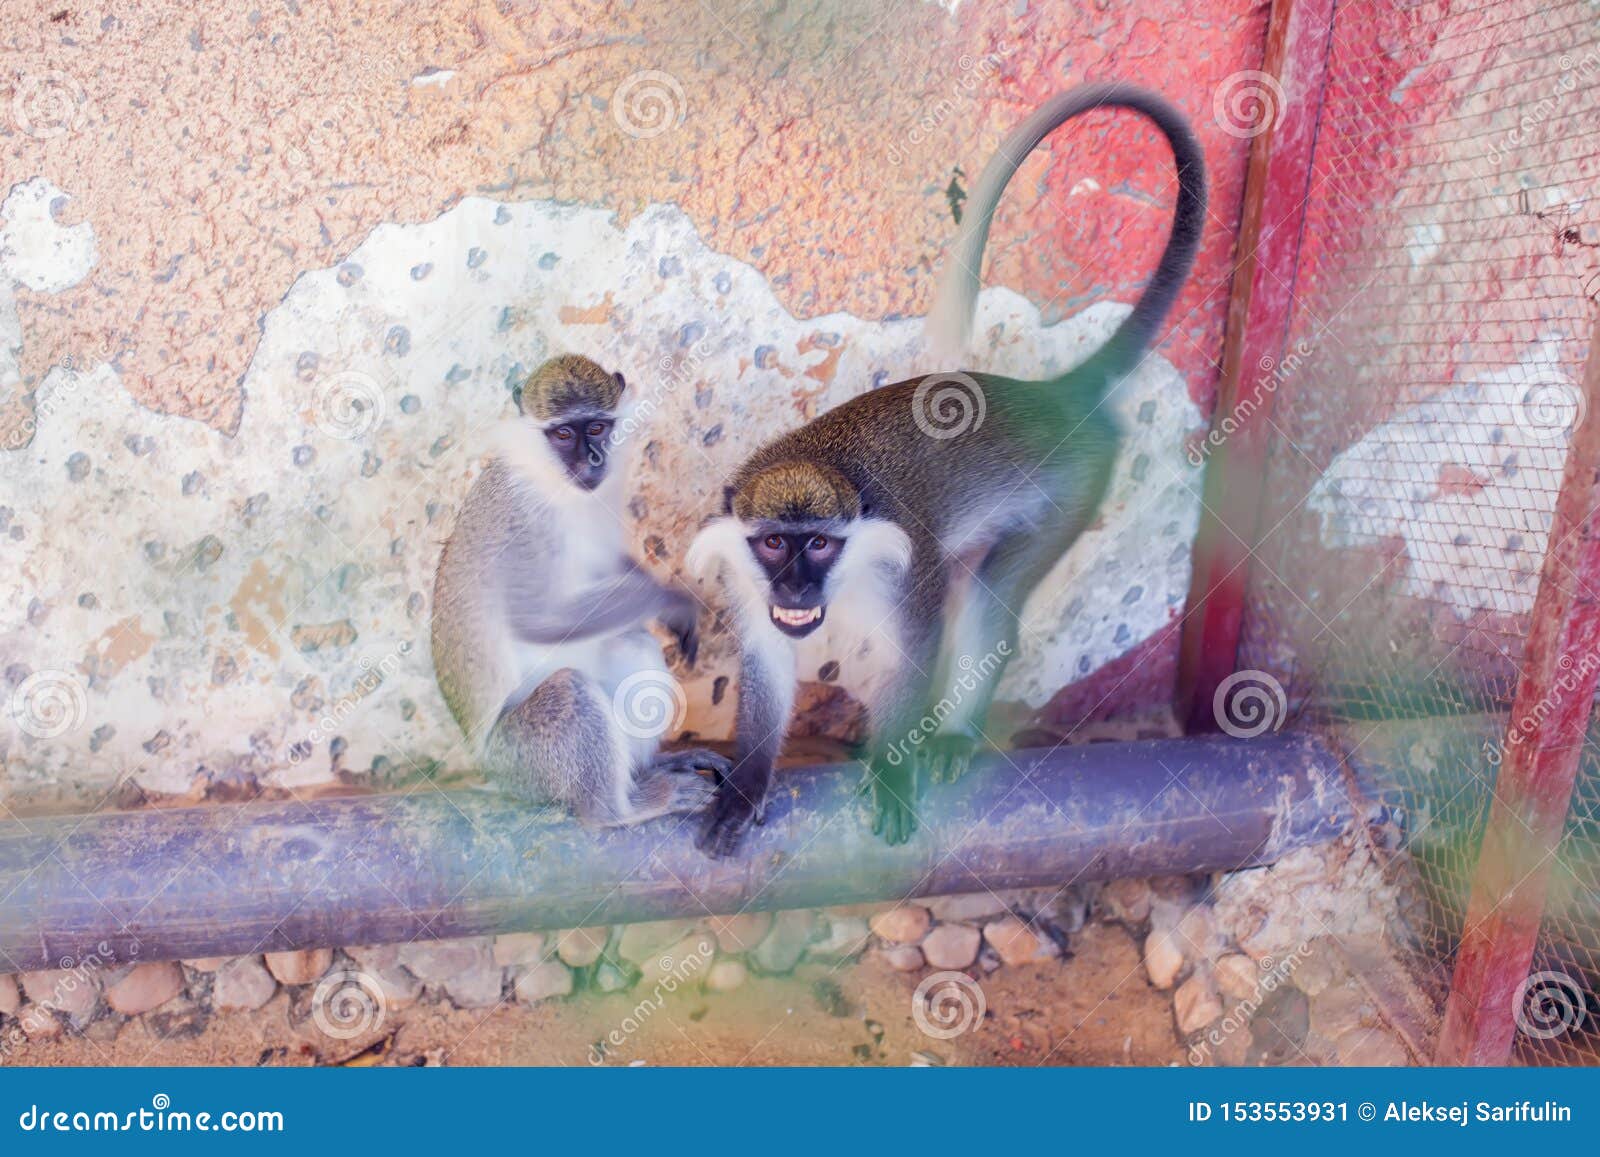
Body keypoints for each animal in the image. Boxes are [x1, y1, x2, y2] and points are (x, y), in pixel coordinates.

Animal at [431, 354, 731, 827]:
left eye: (596, 428)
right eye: (563, 434)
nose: (591, 460)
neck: (553, 483)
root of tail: (488, 771)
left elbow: (608, 567)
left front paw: (664, 601)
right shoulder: (523, 524)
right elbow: (539, 617)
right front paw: (673, 600)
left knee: (633, 644)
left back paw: (649, 768)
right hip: (521, 762)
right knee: (569, 691)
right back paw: (617, 807)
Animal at [687, 83, 1206, 855]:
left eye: (820, 544)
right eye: (775, 542)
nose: (796, 584)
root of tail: (1050, 397)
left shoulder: (904, 572)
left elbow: (915, 652)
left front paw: (893, 770)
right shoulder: (747, 579)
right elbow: (767, 662)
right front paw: (747, 782)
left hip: (1076, 489)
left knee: (990, 593)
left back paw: (956, 734)